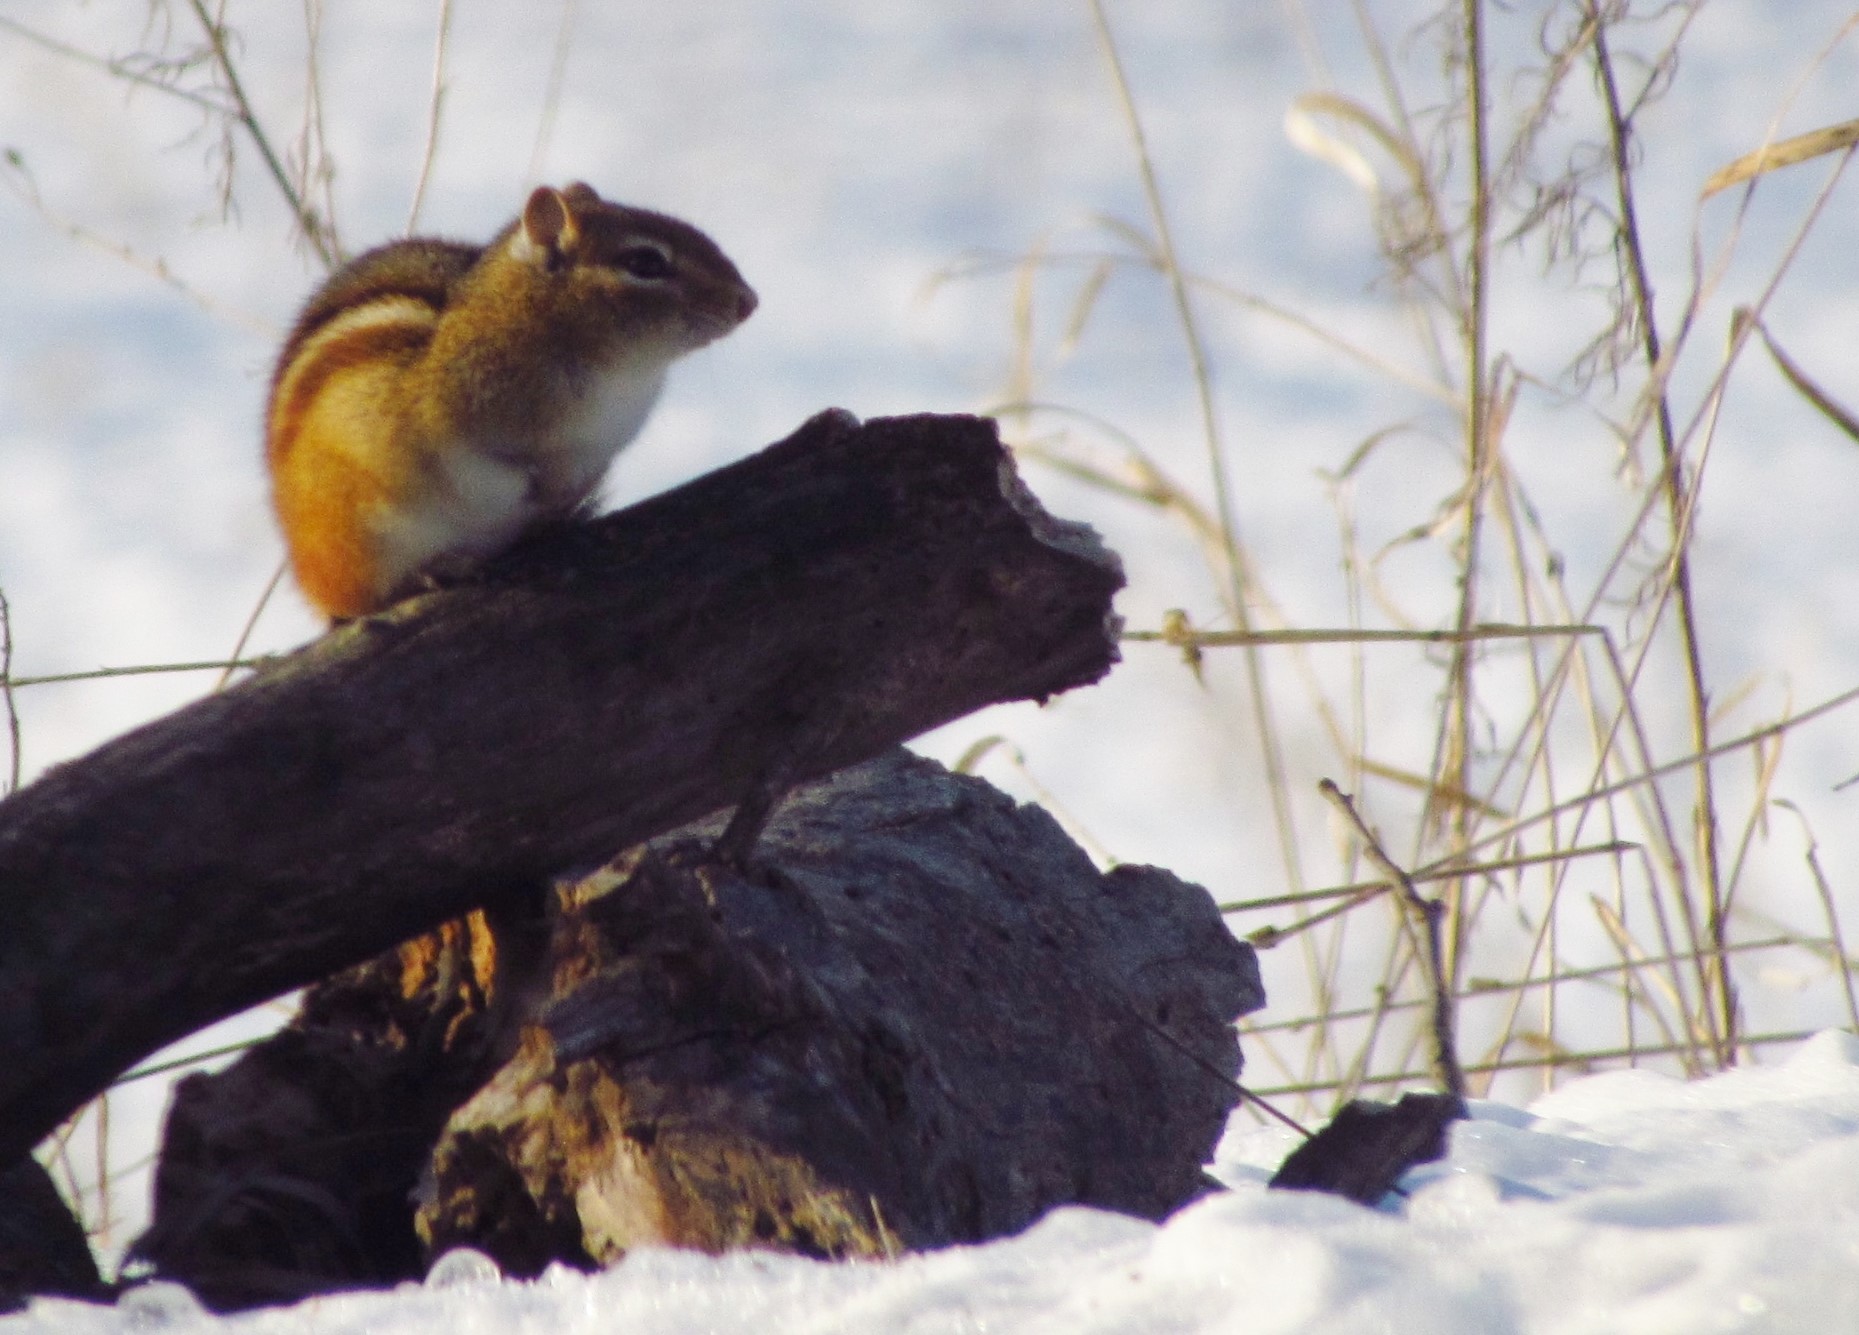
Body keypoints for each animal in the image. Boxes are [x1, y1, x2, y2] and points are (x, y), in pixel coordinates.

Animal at [265, 181, 757, 620]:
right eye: (645, 262)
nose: (748, 302)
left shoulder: (599, 446)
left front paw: (559, 507)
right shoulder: (448, 430)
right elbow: (490, 469)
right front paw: (531, 487)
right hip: (362, 536)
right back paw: (437, 568)